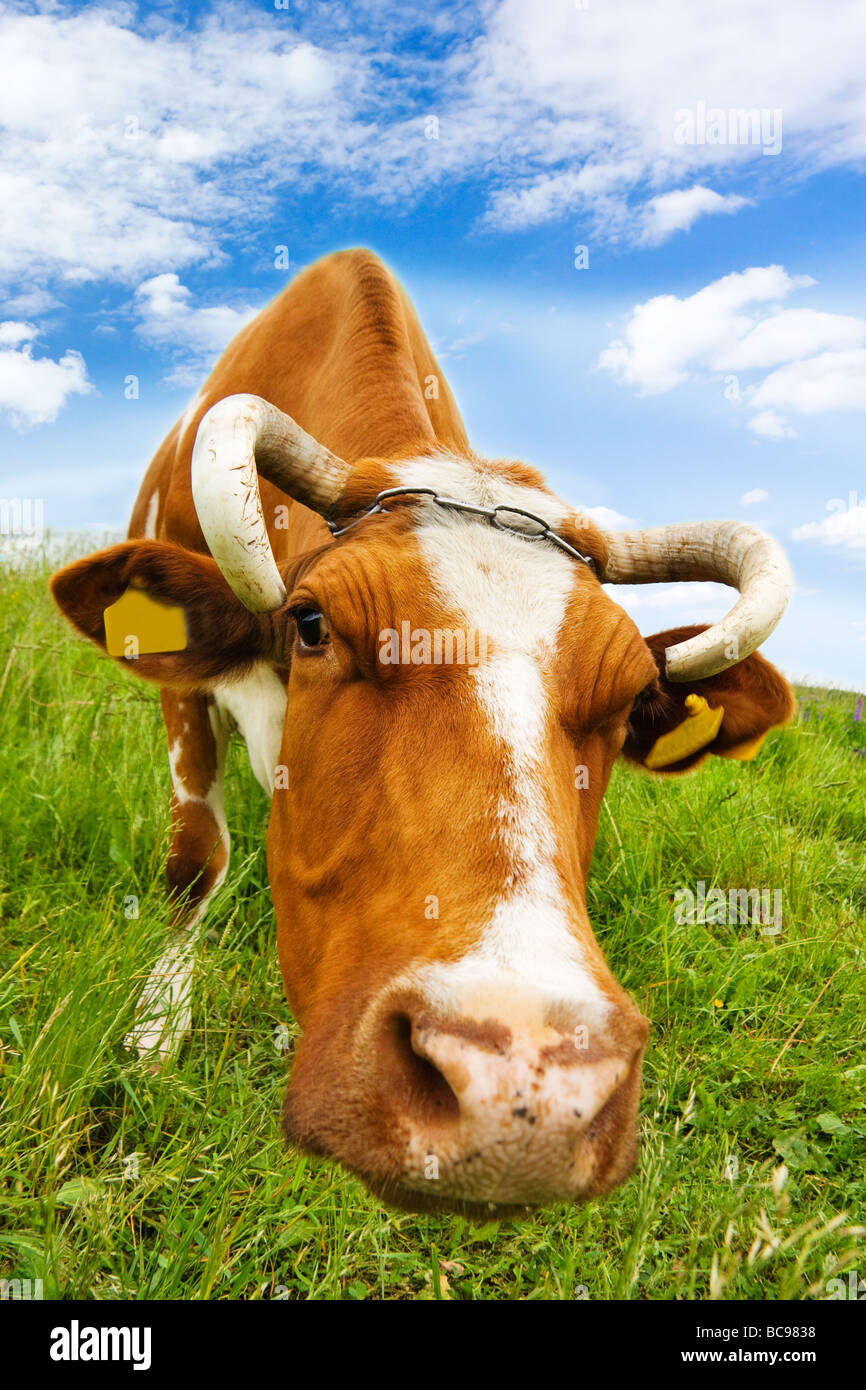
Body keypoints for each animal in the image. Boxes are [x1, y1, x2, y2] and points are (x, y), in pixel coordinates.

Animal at [51, 248, 794, 1215]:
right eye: (311, 623)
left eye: (634, 697)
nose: (525, 1084)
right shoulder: (189, 687)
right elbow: (195, 857)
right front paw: (156, 1022)